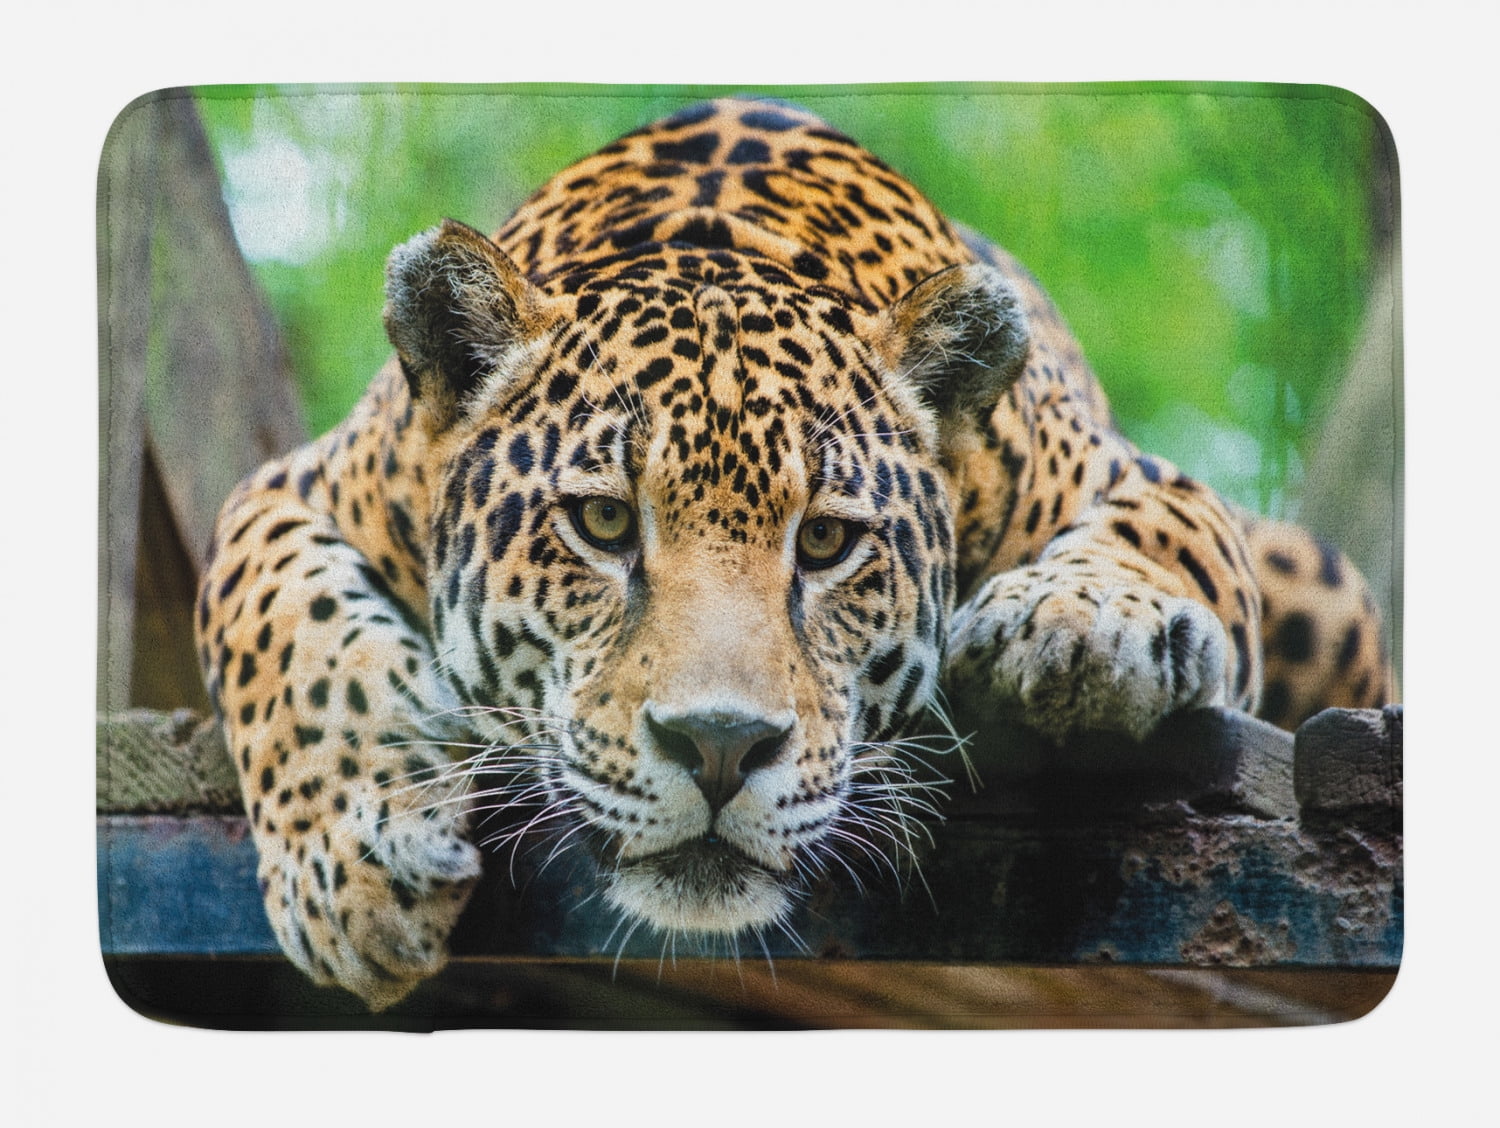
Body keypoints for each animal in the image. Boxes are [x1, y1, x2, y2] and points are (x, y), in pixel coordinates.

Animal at [195, 97, 1394, 1009]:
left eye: (825, 541)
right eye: (603, 525)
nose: (720, 748)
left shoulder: (1136, 477)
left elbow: (1163, 535)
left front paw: (1081, 625)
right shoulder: (291, 488)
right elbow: (284, 629)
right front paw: (351, 868)